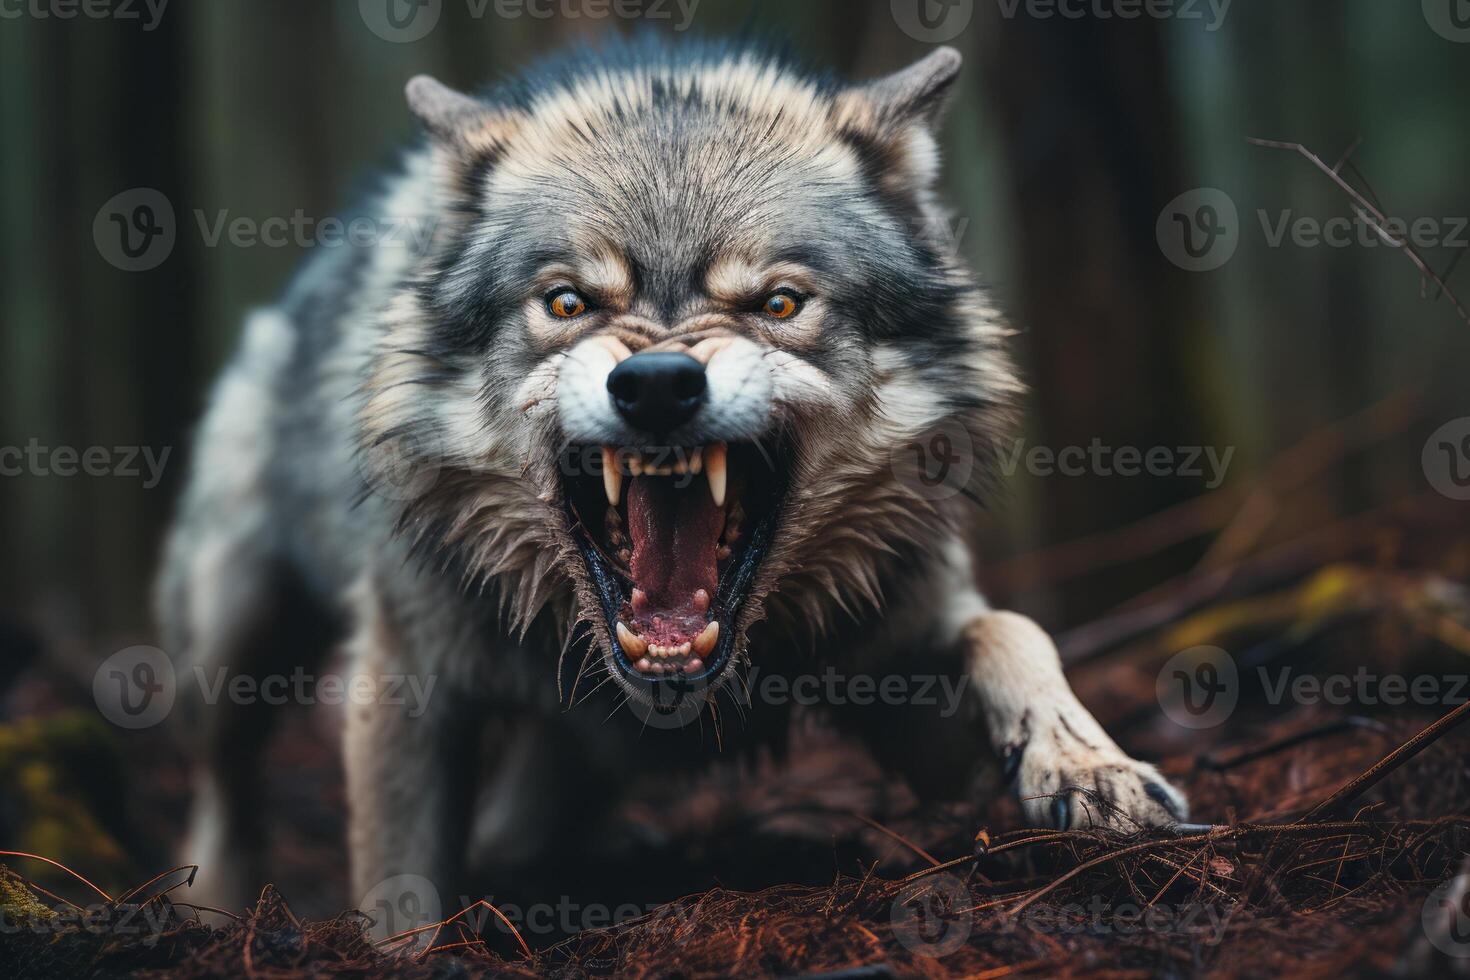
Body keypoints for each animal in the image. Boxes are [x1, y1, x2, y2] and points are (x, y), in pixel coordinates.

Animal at [157, 38, 1187, 913]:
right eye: (567, 303)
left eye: (779, 303)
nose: (656, 384)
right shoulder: (404, 688)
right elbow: (400, 895)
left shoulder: (908, 683)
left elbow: (1009, 632)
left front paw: (1089, 769)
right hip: (236, 643)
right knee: (222, 780)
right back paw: (212, 906)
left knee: (508, 825)